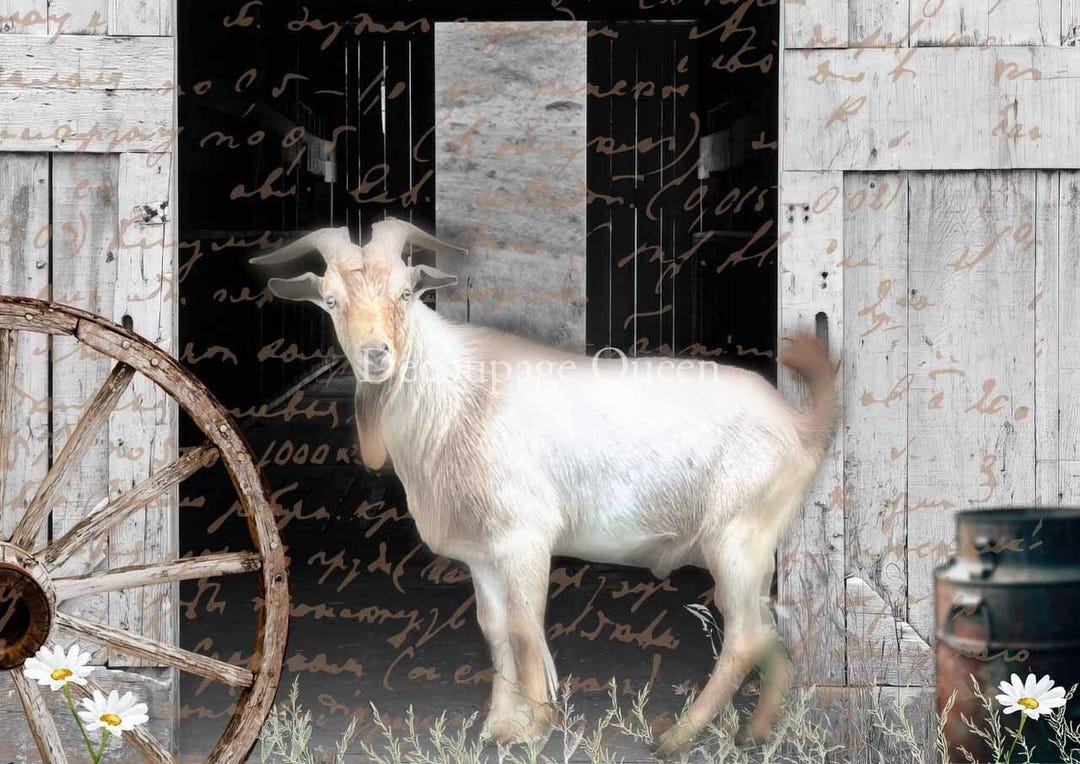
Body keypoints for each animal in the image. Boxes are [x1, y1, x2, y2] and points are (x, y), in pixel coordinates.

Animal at [252, 219, 838, 756]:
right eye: (331, 300)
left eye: (406, 292)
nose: (376, 354)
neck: (459, 397)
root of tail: (800, 424)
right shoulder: (483, 553)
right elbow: (494, 629)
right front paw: (497, 725)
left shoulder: (523, 538)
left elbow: (524, 625)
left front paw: (533, 726)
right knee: (769, 632)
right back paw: (755, 733)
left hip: (739, 537)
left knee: (745, 635)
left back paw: (676, 737)